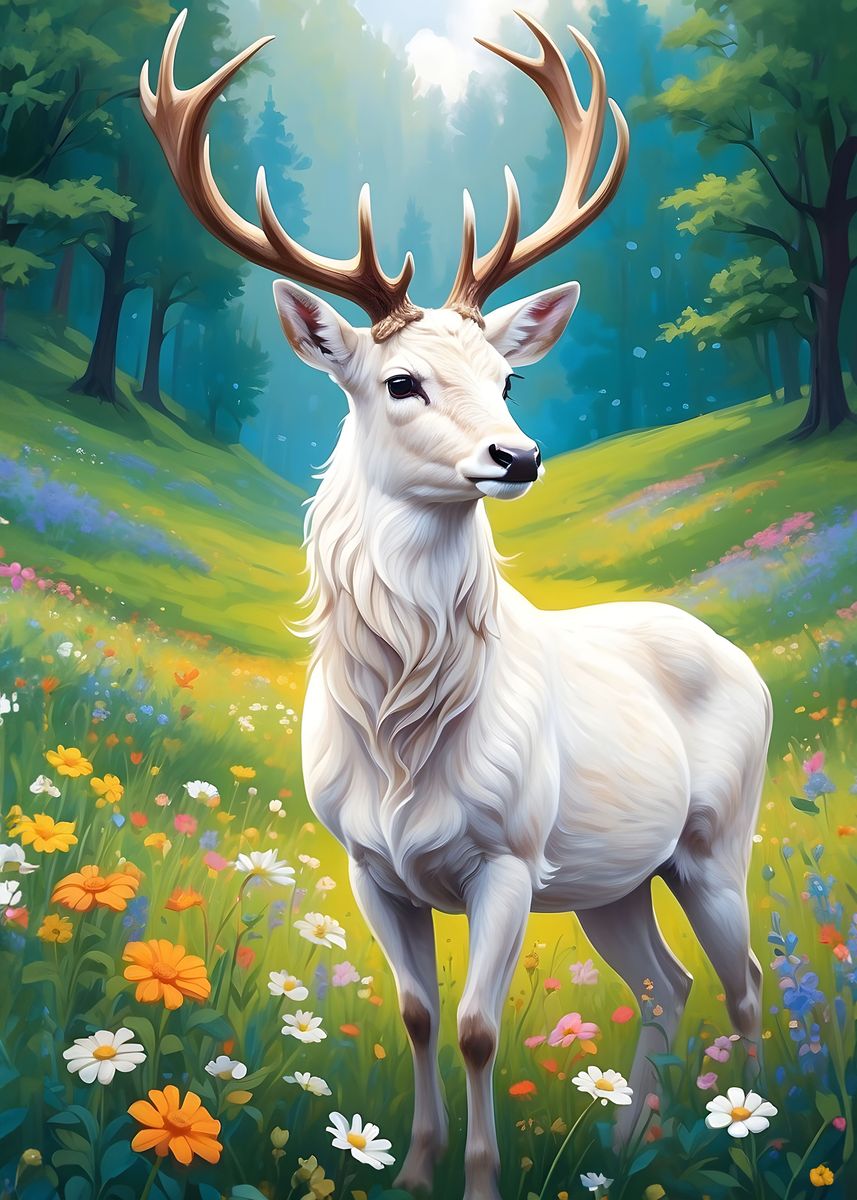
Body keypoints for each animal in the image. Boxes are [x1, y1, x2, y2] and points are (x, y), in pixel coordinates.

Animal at [142, 10, 773, 1199]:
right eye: (400, 383)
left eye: (509, 379)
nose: (518, 457)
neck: (405, 733)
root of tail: (743, 661)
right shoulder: (365, 862)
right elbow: (419, 1016)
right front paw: (412, 1170)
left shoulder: (507, 857)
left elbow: (480, 1028)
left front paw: (480, 1179)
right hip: (612, 878)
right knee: (664, 982)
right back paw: (628, 1143)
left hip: (715, 838)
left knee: (746, 977)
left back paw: (755, 1137)